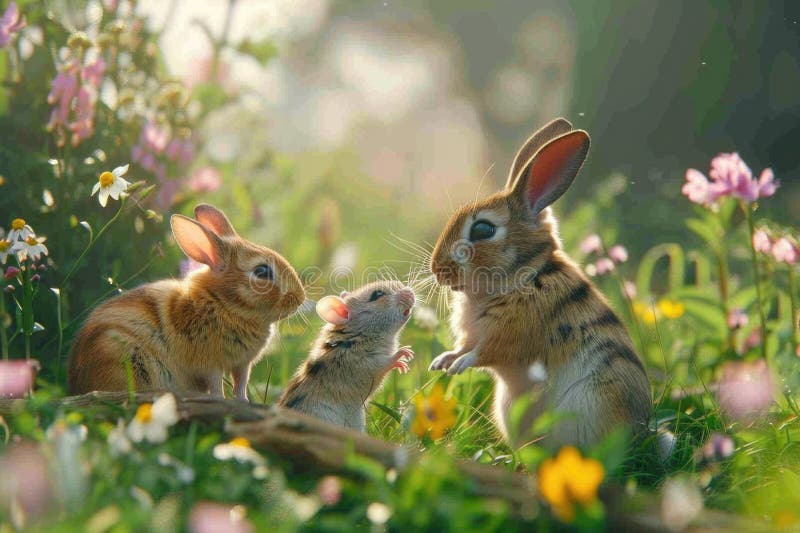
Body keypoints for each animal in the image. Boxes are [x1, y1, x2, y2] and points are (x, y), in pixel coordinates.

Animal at [67, 204, 306, 400]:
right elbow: (216, 384)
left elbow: (240, 384)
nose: (299, 298)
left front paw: (243, 402)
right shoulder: (210, 363)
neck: (223, 303)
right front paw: (220, 401)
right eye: (262, 272)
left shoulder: (242, 364)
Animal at [278, 281, 415, 431]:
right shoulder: (365, 364)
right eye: (377, 294)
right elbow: (385, 362)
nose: (410, 291)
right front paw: (405, 354)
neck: (354, 335)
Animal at [428, 118, 651, 447]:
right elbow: (464, 345)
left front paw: (458, 365)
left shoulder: (510, 333)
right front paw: (442, 361)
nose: (436, 269)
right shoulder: (473, 333)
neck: (521, 276)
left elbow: (483, 352)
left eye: (483, 229)